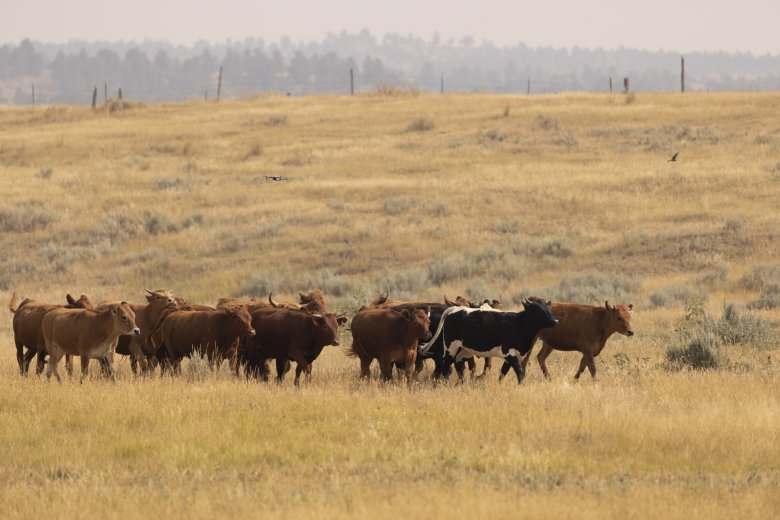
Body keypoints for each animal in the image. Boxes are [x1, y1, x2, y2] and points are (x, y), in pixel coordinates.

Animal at [420, 299, 558, 384]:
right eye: (538, 310)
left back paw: (462, 383)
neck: (519, 324)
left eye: (548, 308)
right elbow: (519, 372)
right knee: (446, 365)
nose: (555, 321)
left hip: (465, 349)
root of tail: (454, 310)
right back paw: (445, 383)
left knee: (458, 363)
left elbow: (503, 372)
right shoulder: (509, 353)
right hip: (450, 347)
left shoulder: (516, 355)